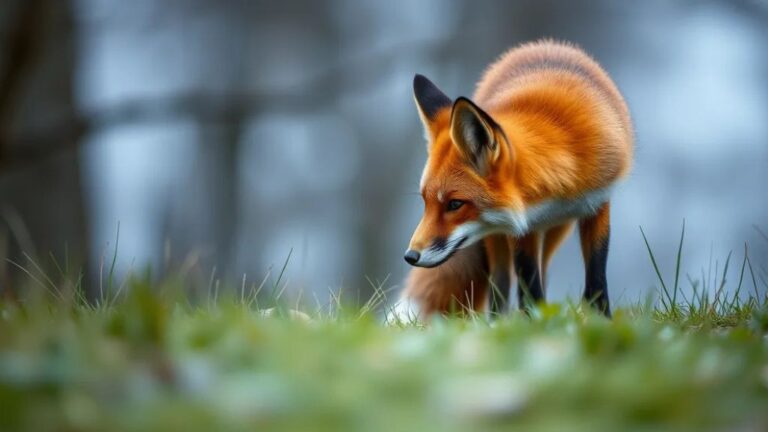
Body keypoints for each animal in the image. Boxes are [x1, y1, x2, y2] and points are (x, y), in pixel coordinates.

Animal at [392, 40, 633, 322]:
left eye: (454, 204)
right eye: (425, 202)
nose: (410, 256)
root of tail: (542, 45)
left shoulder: (598, 203)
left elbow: (596, 278)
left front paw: (602, 319)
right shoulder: (522, 228)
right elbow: (528, 284)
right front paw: (533, 323)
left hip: (555, 230)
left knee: (542, 270)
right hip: (498, 238)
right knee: (502, 284)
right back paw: (497, 323)